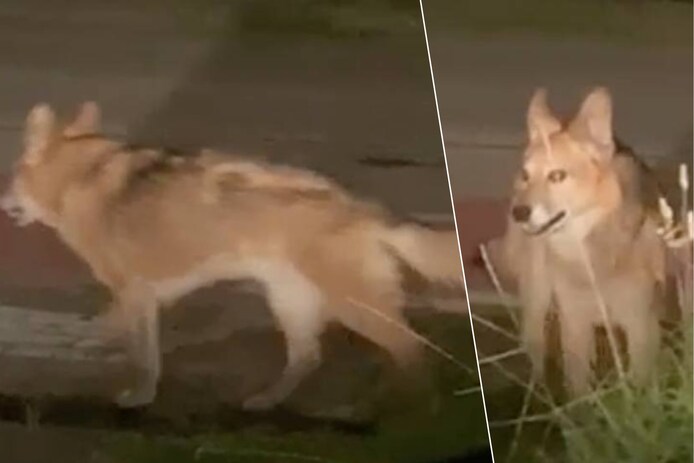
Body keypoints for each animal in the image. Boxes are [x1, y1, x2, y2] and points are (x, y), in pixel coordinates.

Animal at [0, 102, 464, 409]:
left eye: (11, 177)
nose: (2, 203)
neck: (78, 175)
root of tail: (361, 209)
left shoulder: (135, 293)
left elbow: (142, 357)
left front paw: (140, 396)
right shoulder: (141, 298)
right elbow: (125, 338)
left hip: (354, 305)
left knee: (411, 348)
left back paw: (415, 408)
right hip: (289, 301)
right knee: (308, 357)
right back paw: (267, 401)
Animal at [486, 87, 667, 395]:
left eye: (557, 175)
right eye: (526, 175)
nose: (519, 212)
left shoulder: (640, 326)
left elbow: (639, 390)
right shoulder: (575, 324)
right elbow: (579, 393)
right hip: (538, 302)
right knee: (535, 353)